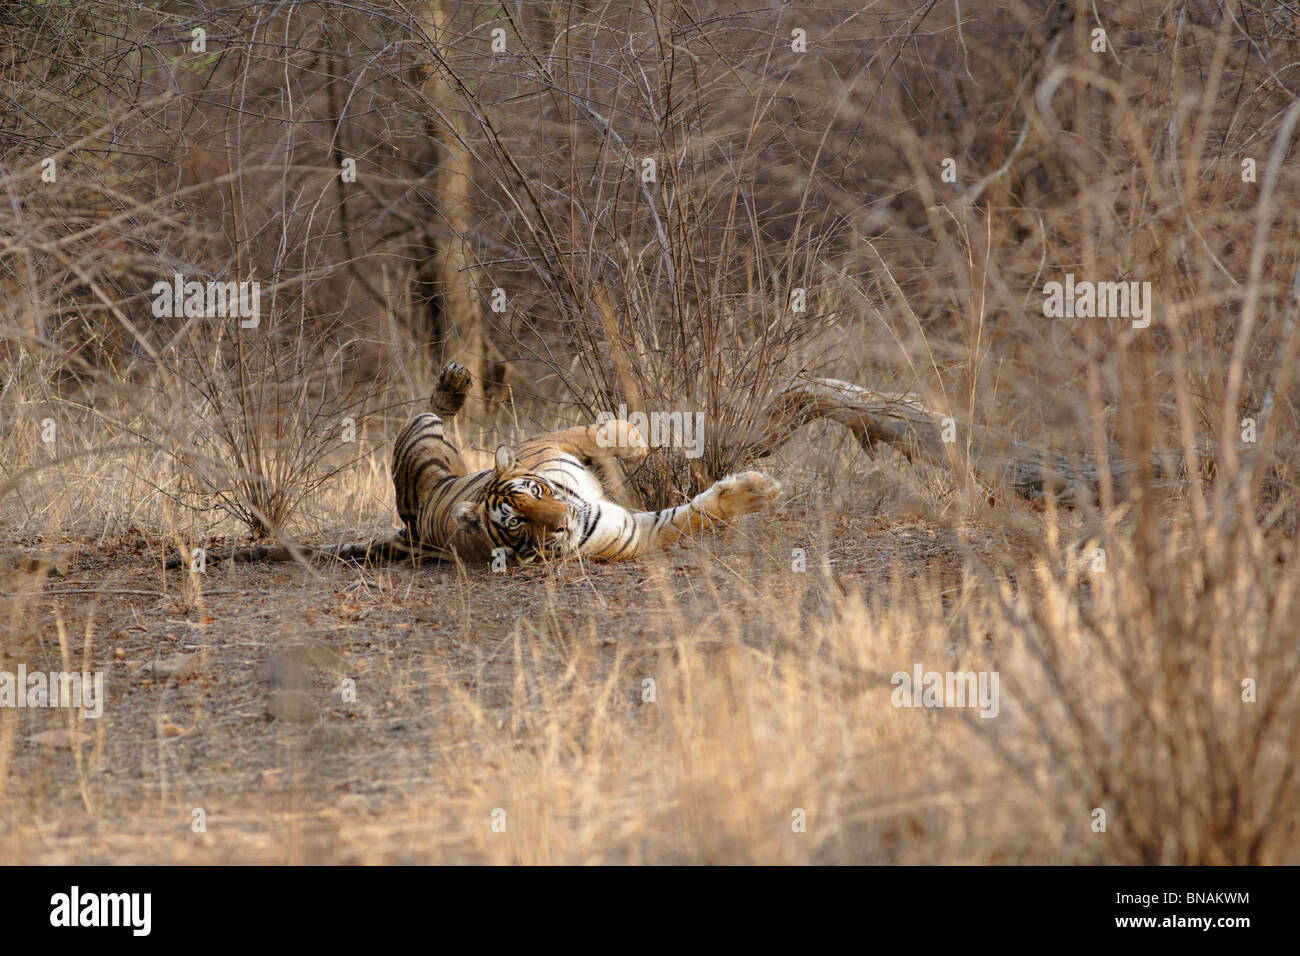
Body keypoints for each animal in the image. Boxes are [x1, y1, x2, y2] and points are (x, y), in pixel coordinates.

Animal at [388, 362, 781, 565]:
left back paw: (453, 381)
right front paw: (758, 493)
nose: (562, 523)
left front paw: (638, 442)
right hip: (419, 446)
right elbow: (688, 518)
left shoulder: (547, 443)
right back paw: (449, 388)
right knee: (425, 412)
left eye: (535, 490)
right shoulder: (635, 533)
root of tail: (412, 524)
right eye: (516, 522)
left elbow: (597, 434)